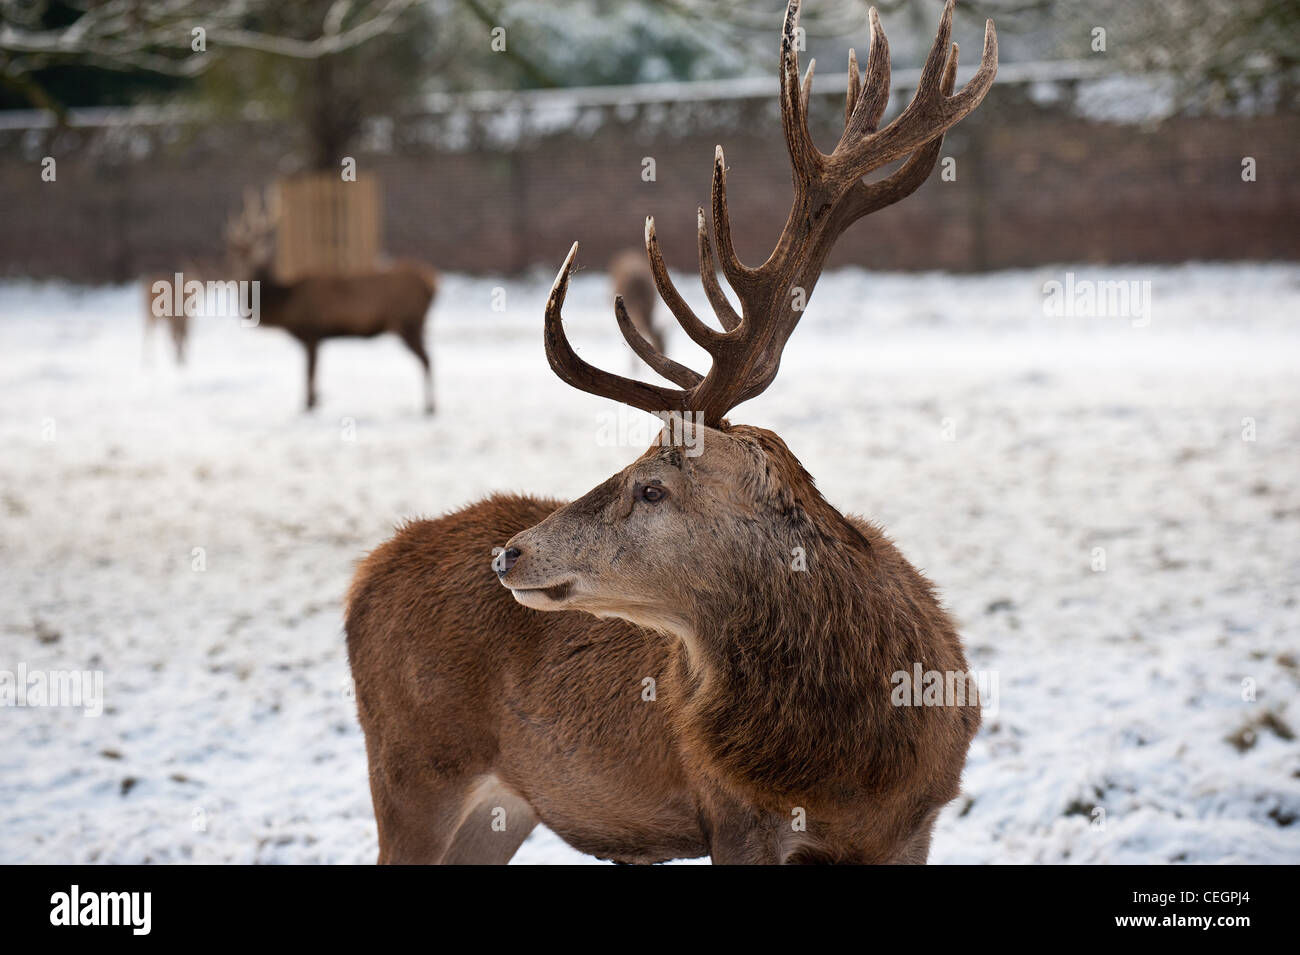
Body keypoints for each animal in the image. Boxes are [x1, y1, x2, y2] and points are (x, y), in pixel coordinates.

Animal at [225, 189, 440, 414]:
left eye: (246, 256)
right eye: (231, 252)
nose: (230, 274)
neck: (286, 304)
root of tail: (432, 284)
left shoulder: (311, 331)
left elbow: (309, 374)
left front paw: (309, 406)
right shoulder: (316, 337)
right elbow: (312, 375)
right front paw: (314, 403)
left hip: (409, 322)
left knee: (428, 360)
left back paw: (430, 407)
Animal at [346, 0, 996, 865]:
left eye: (651, 486)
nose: (510, 554)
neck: (851, 766)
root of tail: (364, 575)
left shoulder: (919, 821)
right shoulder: (733, 814)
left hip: (497, 805)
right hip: (410, 767)